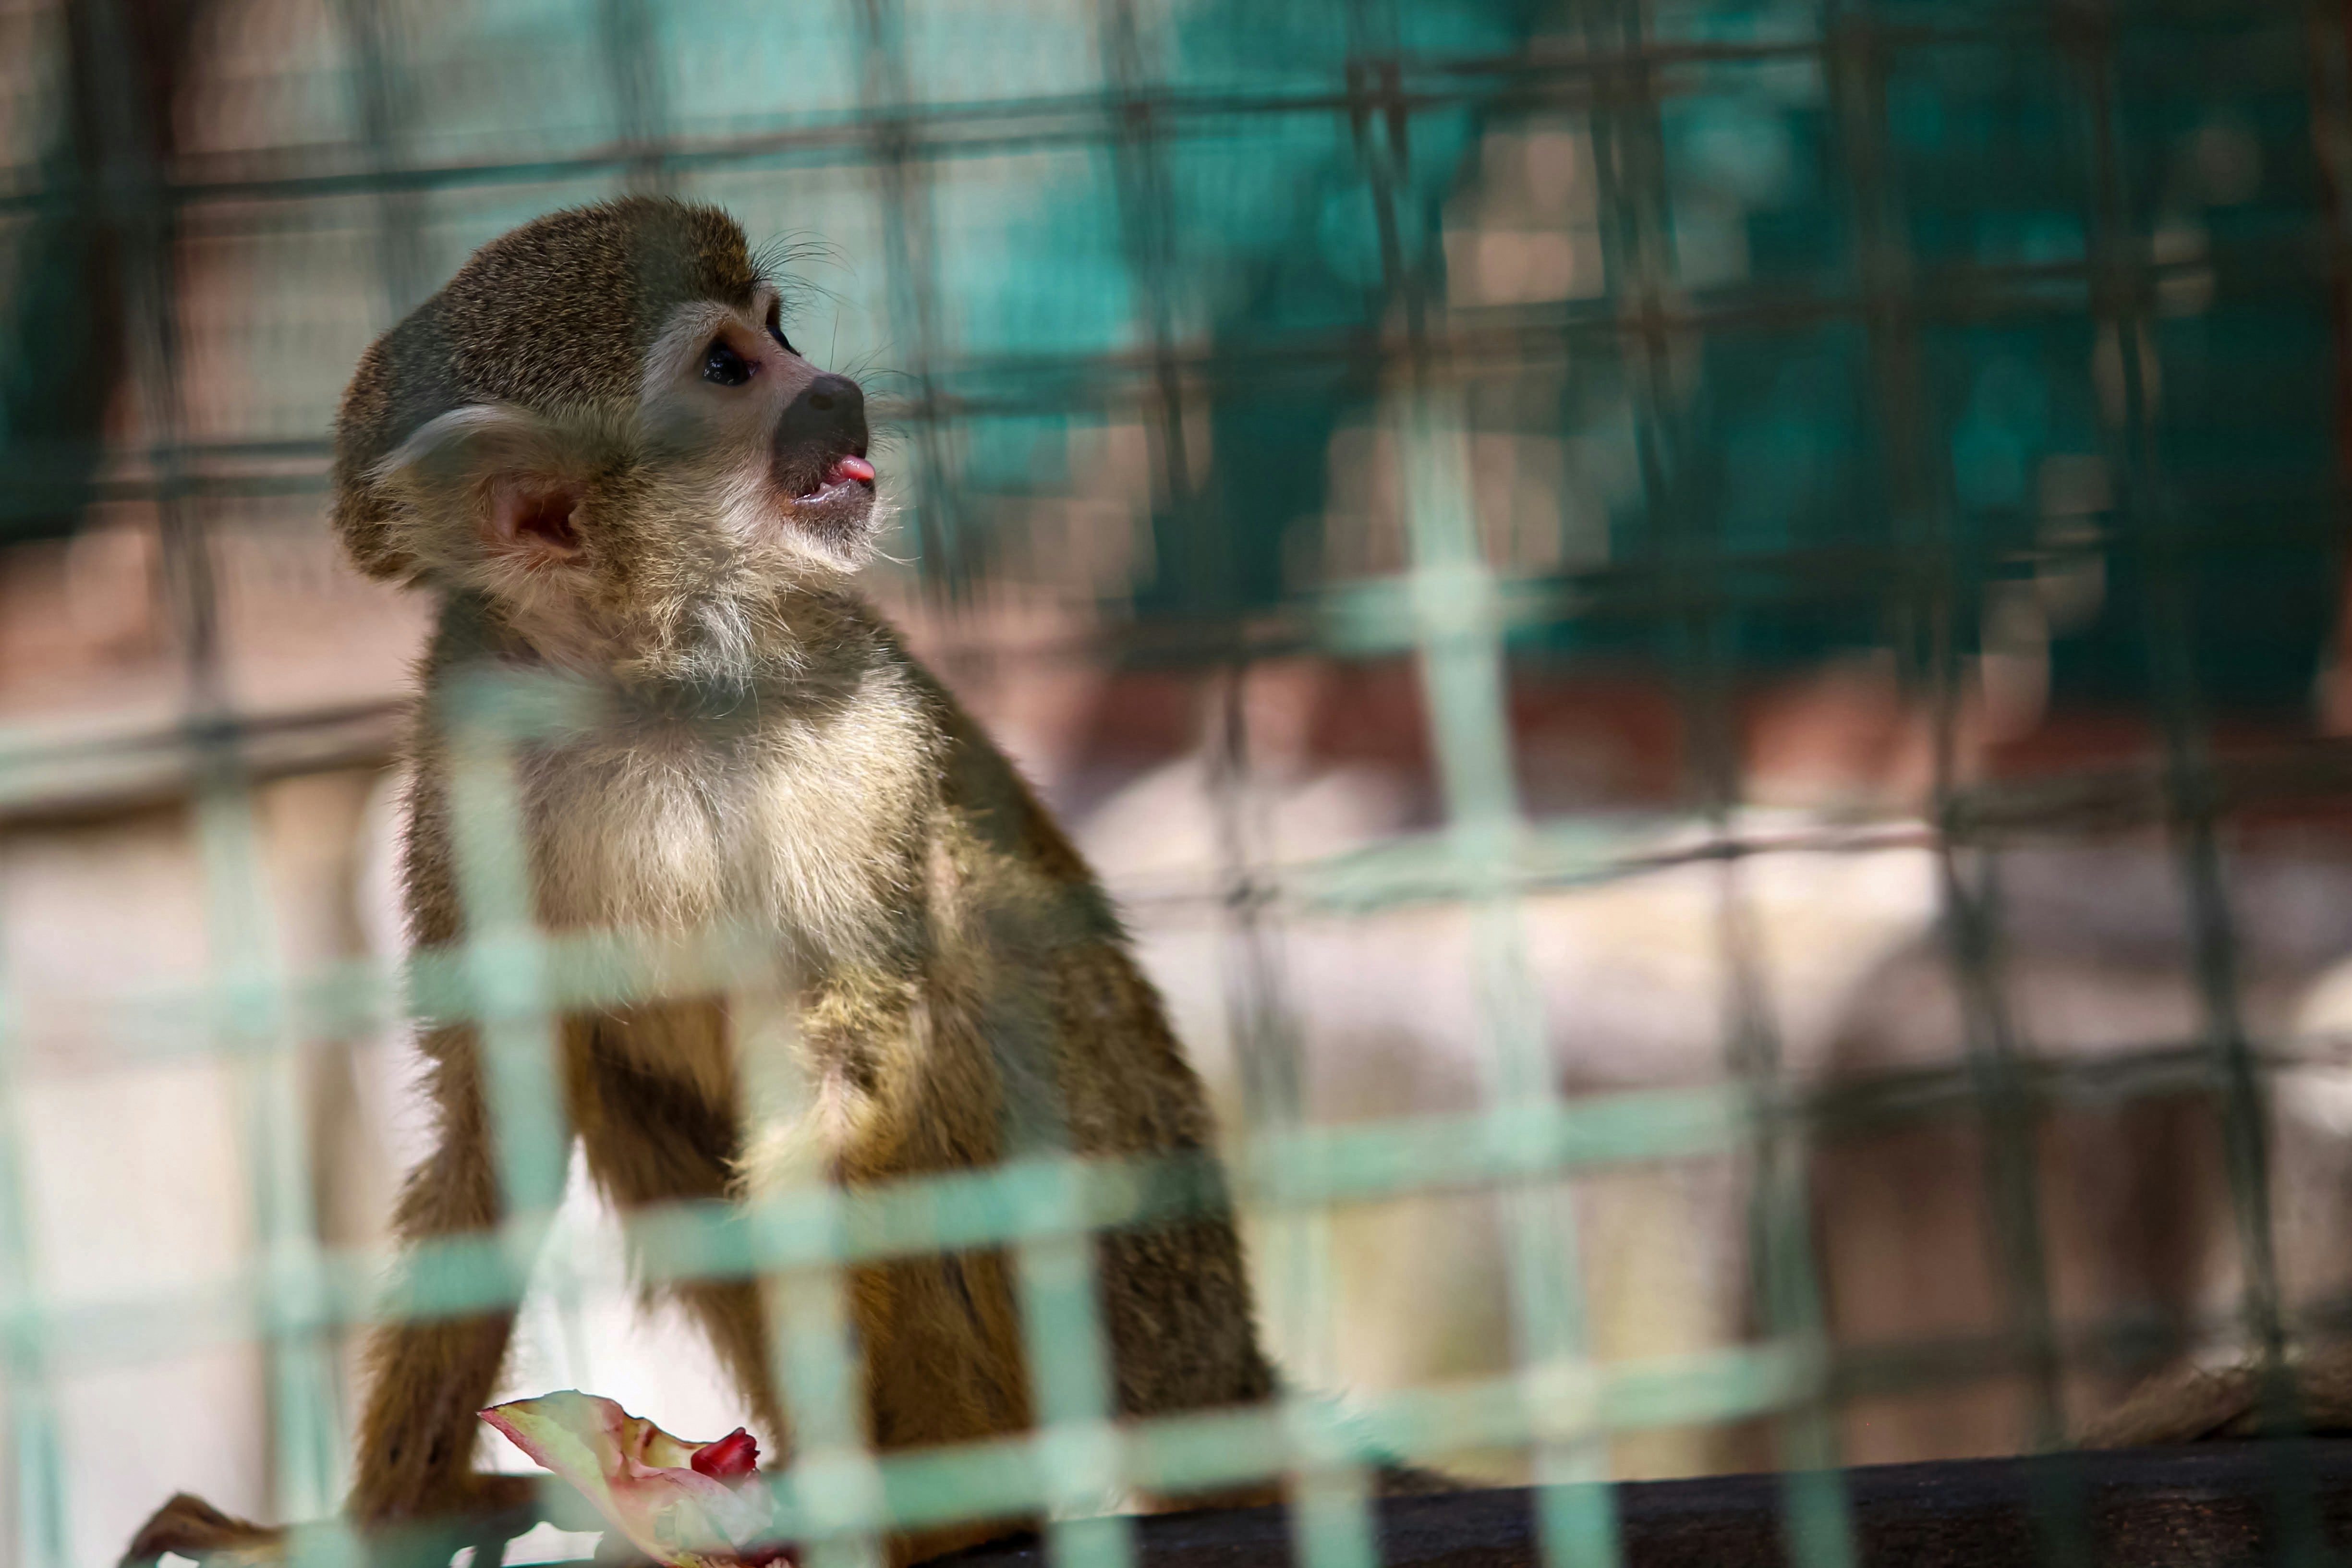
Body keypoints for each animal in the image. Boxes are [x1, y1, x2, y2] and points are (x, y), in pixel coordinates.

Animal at [121, 196, 1349, 1568]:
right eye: (728, 368)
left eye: (781, 328)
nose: (836, 390)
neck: (649, 679)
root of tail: (1221, 1376)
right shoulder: (466, 744)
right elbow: (496, 1122)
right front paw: (373, 1526)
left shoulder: (857, 715)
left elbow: (857, 1055)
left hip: (1128, 1308)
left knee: (950, 977)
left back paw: (955, 1490)